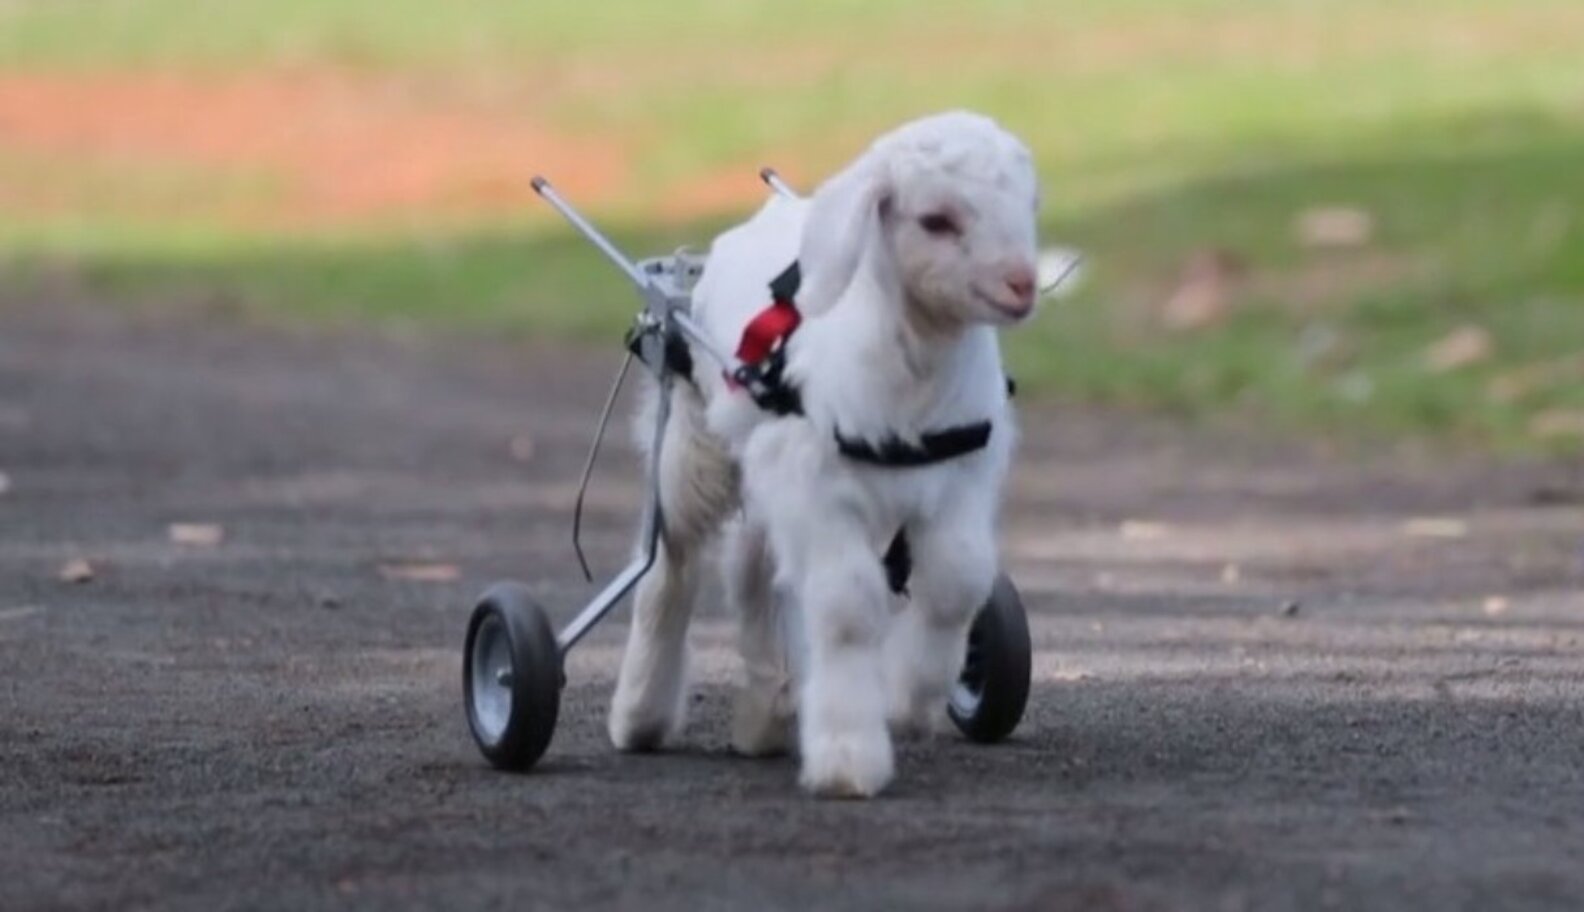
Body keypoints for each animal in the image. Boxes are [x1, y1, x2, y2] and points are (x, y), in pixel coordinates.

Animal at [607, 111, 1041, 797]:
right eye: (936, 220)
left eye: (1029, 204)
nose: (1022, 284)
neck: (913, 377)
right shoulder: (818, 487)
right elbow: (847, 606)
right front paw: (847, 757)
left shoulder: (963, 476)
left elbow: (959, 578)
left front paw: (911, 698)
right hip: (695, 440)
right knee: (670, 568)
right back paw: (640, 716)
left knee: (755, 570)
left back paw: (767, 715)